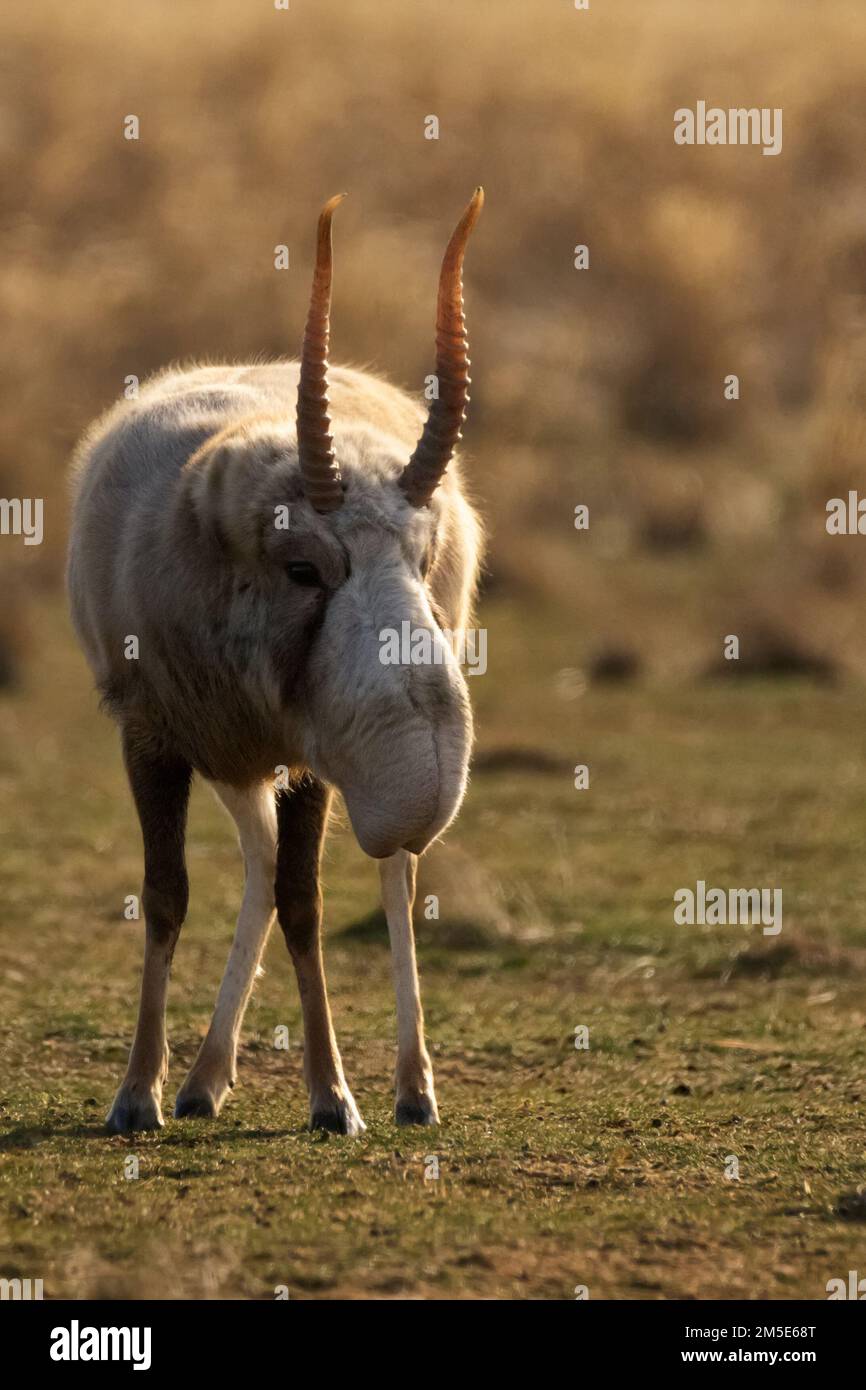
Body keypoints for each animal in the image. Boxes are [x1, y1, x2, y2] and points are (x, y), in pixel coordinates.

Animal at [67, 190, 485, 1135]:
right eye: (305, 568)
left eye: (422, 555)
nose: (426, 782)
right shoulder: (151, 736)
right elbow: (167, 894)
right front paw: (136, 1092)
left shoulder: (311, 760)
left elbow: (306, 903)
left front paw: (333, 1098)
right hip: (233, 756)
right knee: (257, 864)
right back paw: (202, 1080)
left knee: (390, 882)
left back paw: (414, 1089)